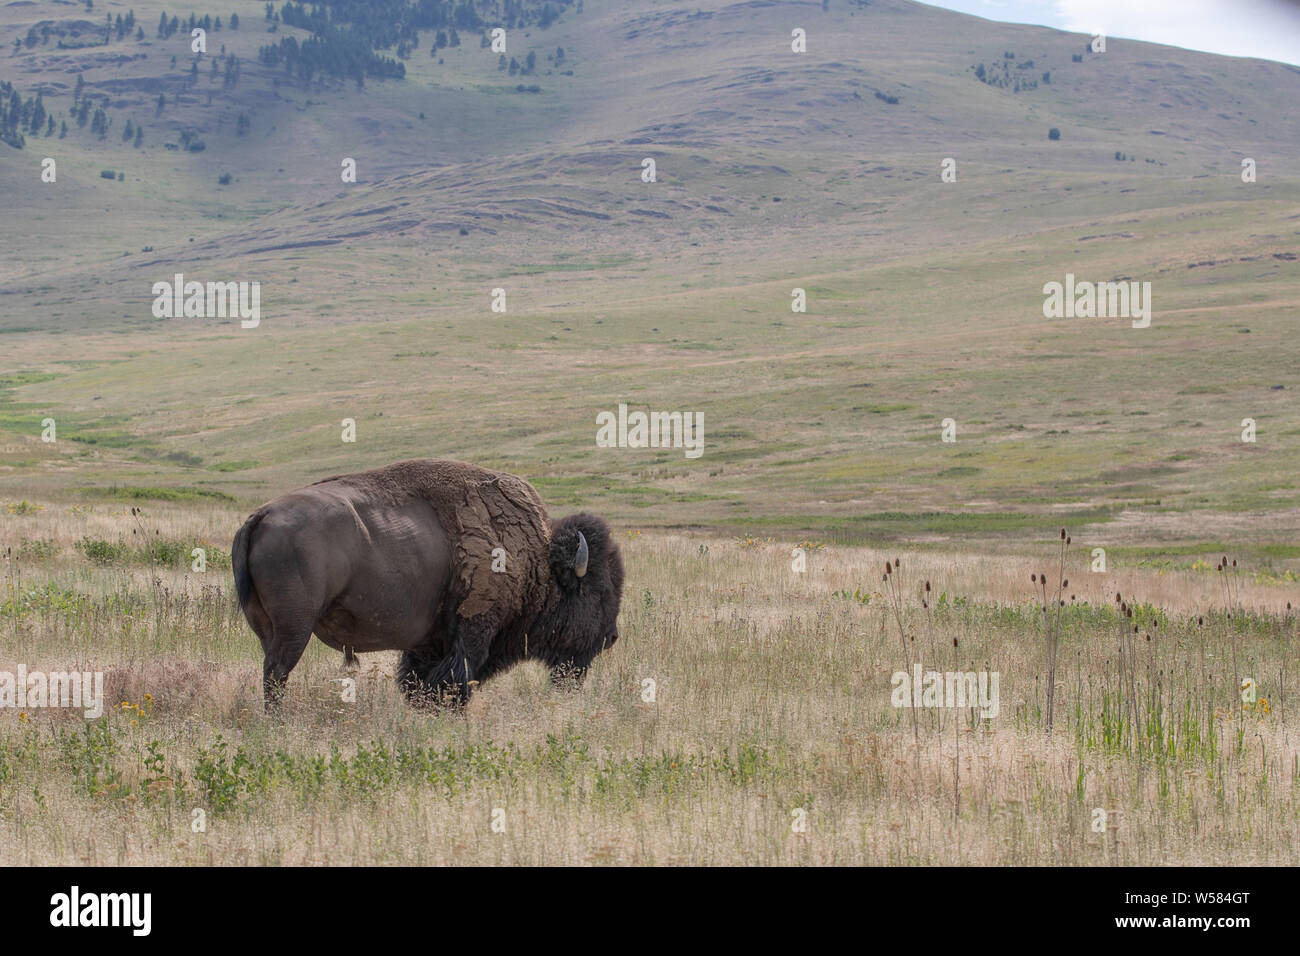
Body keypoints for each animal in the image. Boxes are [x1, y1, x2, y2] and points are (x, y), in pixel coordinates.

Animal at [231, 459, 624, 709]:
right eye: (598, 591)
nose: (612, 637)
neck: (536, 559)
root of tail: (259, 516)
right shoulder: (473, 630)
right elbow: (456, 678)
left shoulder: (429, 641)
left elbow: (419, 680)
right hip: (294, 628)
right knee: (277, 673)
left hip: (267, 628)